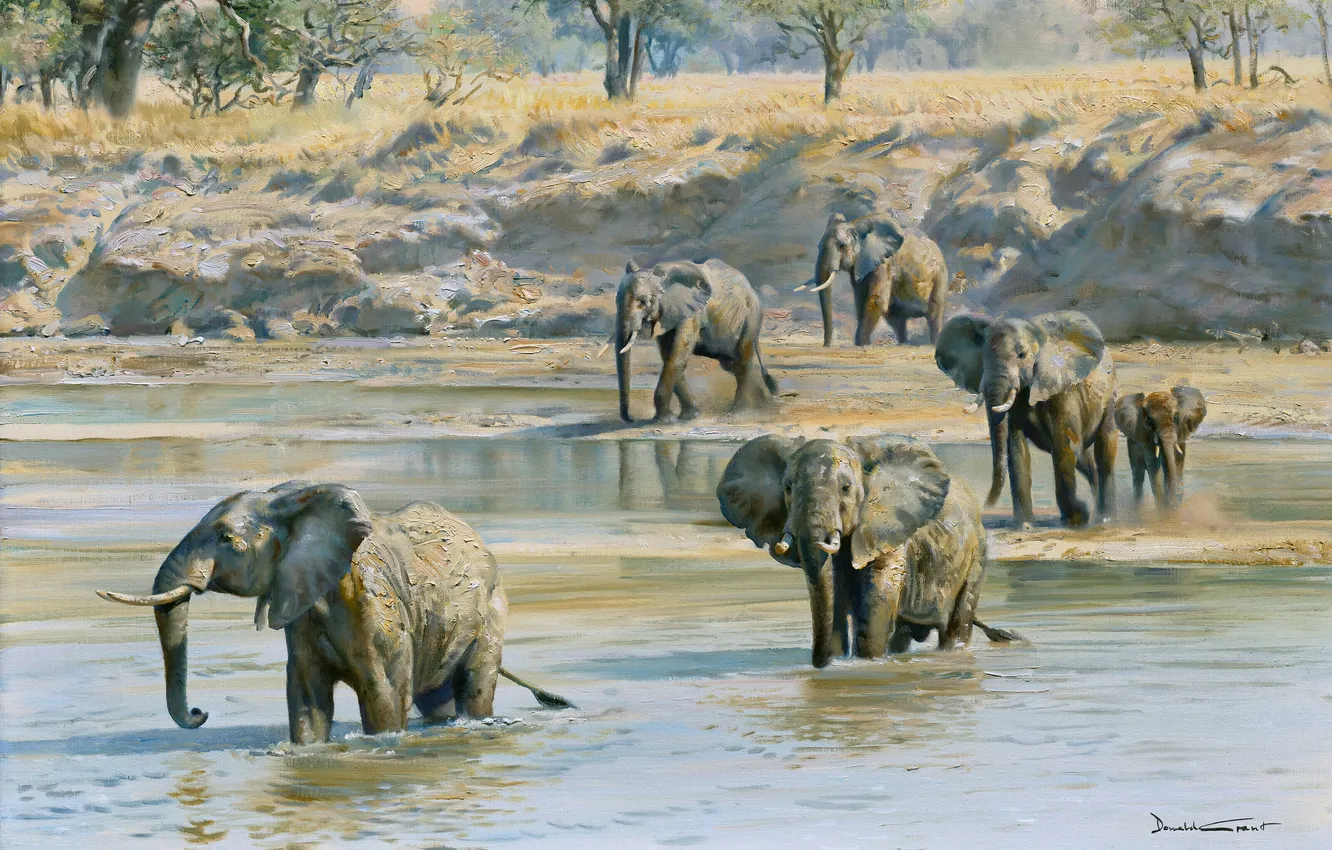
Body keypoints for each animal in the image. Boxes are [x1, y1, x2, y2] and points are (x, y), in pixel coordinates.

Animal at [97, 481, 571, 744]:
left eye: (229, 539)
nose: (200, 713)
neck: (292, 501)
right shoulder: (303, 608)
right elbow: (307, 702)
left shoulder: (380, 613)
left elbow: (383, 700)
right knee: (435, 699)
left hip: (492, 608)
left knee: (474, 684)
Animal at [606, 258, 777, 423]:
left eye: (643, 302)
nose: (631, 419)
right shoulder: (668, 314)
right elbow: (669, 356)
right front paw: (689, 416)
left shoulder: (692, 313)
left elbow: (676, 358)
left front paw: (663, 421)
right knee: (731, 364)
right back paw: (763, 405)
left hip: (751, 317)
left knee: (742, 362)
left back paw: (737, 414)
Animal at [716, 433, 1015, 669]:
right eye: (788, 488)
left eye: (846, 489)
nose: (820, 665)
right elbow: (833, 590)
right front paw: (839, 661)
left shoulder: (887, 527)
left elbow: (878, 592)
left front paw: (866, 665)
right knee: (903, 633)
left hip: (978, 553)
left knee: (959, 617)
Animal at [803, 213, 949, 347]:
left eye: (842, 246)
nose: (826, 346)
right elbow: (860, 301)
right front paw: (864, 344)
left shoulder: (884, 263)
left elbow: (876, 299)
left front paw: (860, 344)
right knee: (895, 317)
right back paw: (903, 344)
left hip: (940, 275)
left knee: (934, 311)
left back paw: (933, 344)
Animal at [935, 311, 1118, 528]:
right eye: (983, 358)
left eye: (1022, 355)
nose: (986, 505)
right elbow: (1016, 448)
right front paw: (1024, 526)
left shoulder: (1063, 387)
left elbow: (1064, 444)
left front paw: (1077, 519)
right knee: (1084, 458)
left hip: (1111, 398)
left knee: (1102, 452)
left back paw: (1105, 518)